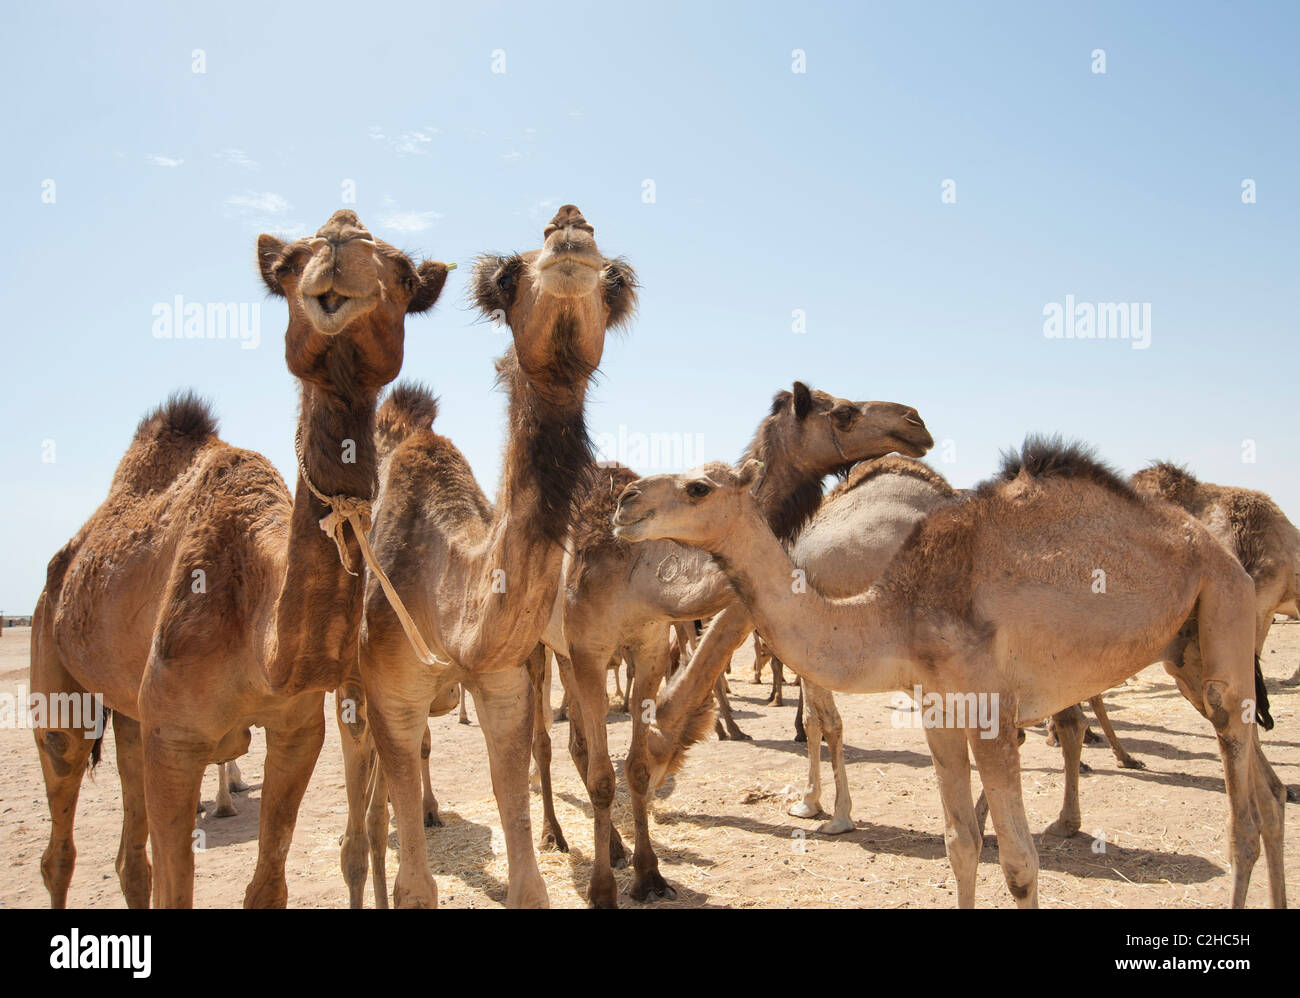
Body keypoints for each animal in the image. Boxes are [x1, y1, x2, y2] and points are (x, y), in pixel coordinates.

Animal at [31, 209, 450, 908]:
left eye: (405, 275)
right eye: (287, 265)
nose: (340, 245)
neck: (258, 631)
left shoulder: (295, 730)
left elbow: (268, 885)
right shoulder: (173, 741)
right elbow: (177, 888)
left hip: (127, 713)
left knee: (128, 856)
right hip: (55, 666)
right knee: (59, 830)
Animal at [342, 205, 637, 910]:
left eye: (613, 283)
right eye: (506, 277)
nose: (570, 225)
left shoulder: (502, 684)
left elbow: (529, 879)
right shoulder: (391, 696)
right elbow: (415, 887)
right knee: (361, 819)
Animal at [541, 383, 933, 906]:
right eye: (844, 413)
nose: (916, 423)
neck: (637, 577)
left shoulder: (648, 646)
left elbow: (637, 766)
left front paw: (649, 875)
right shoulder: (590, 650)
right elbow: (607, 775)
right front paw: (602, 889)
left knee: (579, 746)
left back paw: (617, 847)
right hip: (541, 648)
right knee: (549, 743)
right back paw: (554, 836)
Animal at [612, 439, 1287, 908]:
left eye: (698, 487)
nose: (626, 501)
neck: (897, 610)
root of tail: (1218, 551)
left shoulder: (992, 715)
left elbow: (1018, 863)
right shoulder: (937, 712)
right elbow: (959, 846)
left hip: (1225, 614)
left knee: (1242, 821)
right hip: (1189, 655)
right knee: (1271, 793)